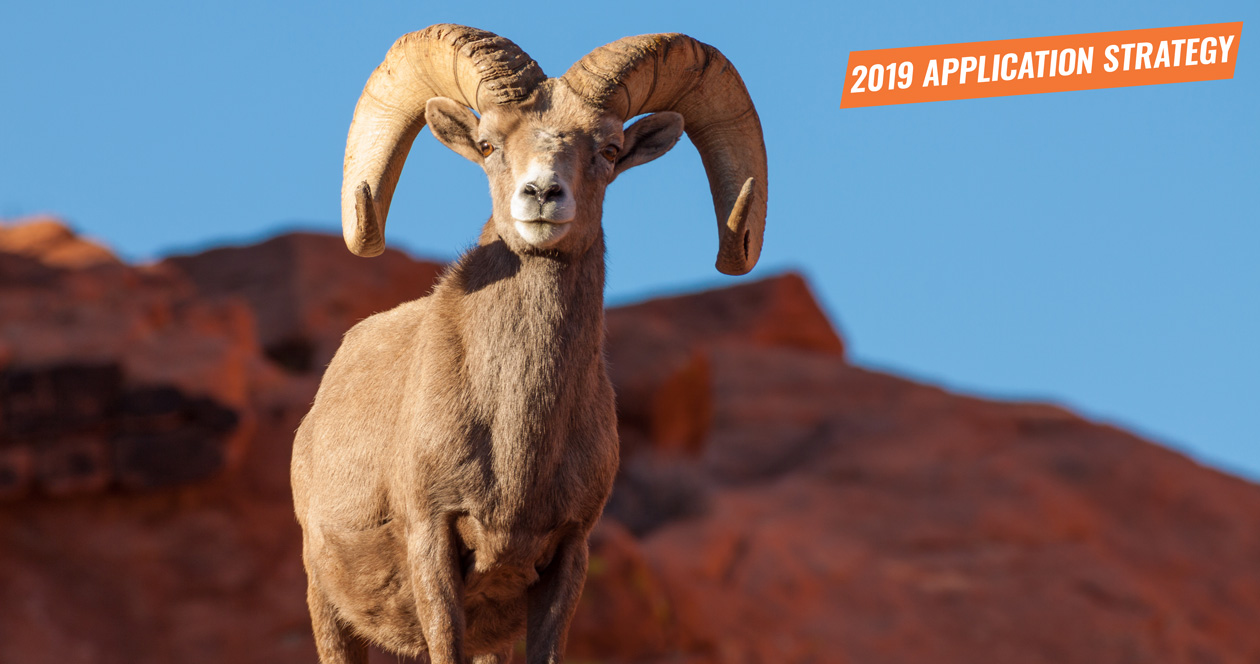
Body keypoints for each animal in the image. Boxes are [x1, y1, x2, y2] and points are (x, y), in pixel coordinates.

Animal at [290, 24, 767, 664]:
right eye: (489, 144)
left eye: (609, 150)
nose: (542, 194)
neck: (515, 440)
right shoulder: (433, 545)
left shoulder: (565, 557)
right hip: (328, 608)